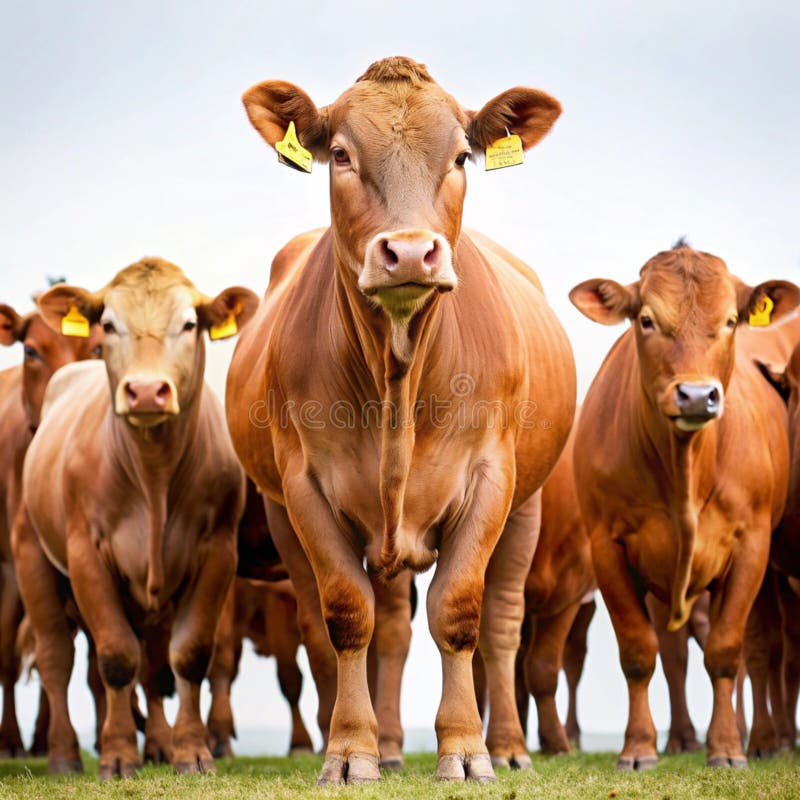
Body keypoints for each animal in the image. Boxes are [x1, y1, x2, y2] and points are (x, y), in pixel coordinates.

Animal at [11, 257, 258, 778]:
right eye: (108, 325)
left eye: (188, 324)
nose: (146, 391)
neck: (153, 475)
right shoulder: (87, 556)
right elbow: (116, 658)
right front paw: (120, 754)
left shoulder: (217, 554)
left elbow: (187, 656)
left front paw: (191, 752)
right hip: (33, 558)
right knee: (58, 658)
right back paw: (65, 754)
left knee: (153, 666)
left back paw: (159, 743)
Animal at [227, 56, 576, 784]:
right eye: (339, 154)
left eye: (463, 156)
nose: (412, 253)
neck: (399, 375)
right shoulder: (303, 488)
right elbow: (347, 616)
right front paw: (350, 751)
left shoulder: (491, 477)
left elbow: (460, 612)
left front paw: (467, 751)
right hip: (291, 513)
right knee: (365, 627)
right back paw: (384, 745)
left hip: (526, 505)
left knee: (502, 627)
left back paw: (509, 745)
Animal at [570, 242, 800, 769]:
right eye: (646, 320)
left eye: (732, 320)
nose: (696, 395)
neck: (685, 468)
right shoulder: (606, 545)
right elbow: (639, 652)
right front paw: (638, 748)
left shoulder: (753, 546)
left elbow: (726, 650)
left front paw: (727, 749)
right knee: (673, 654)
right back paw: (680, 738)